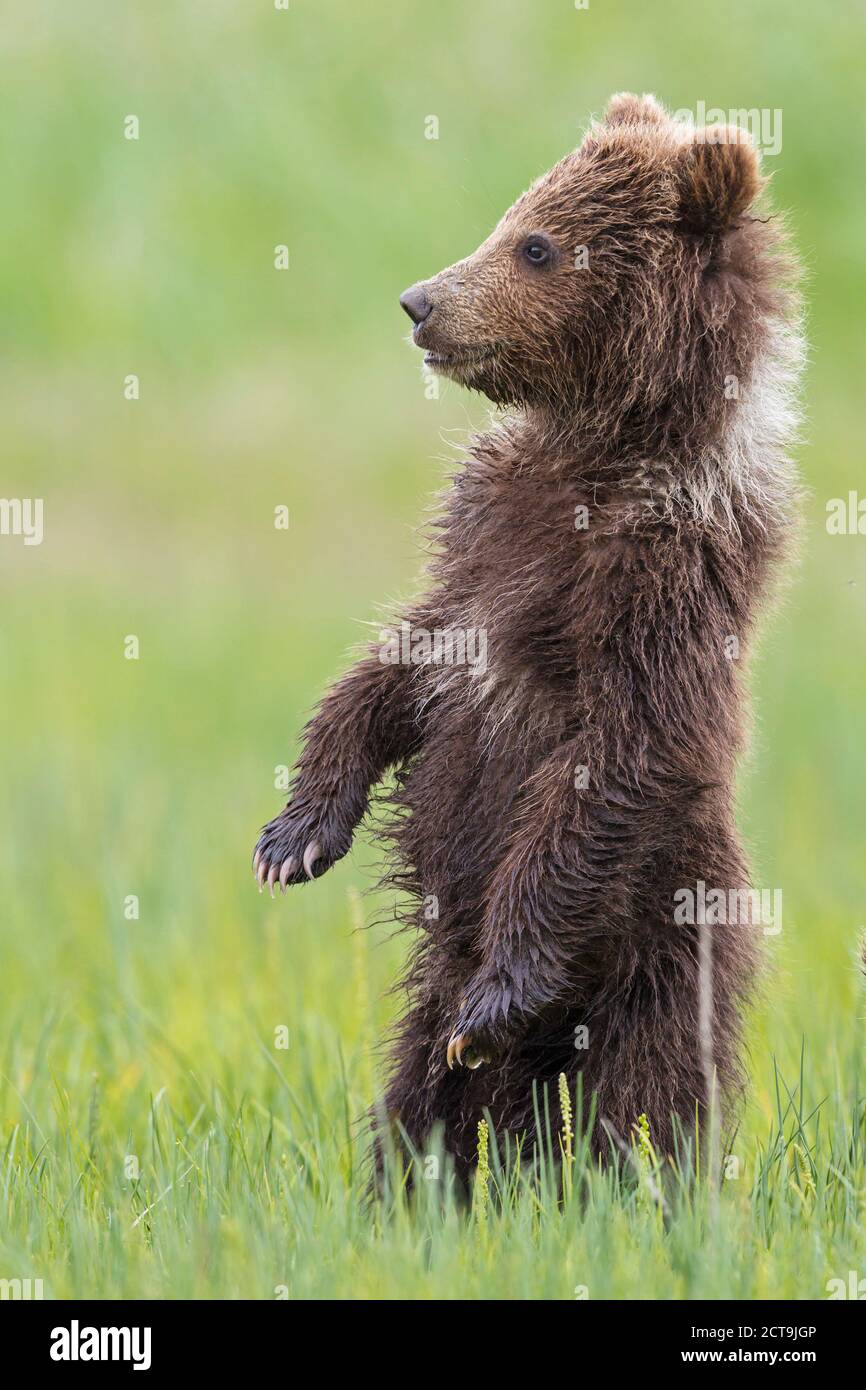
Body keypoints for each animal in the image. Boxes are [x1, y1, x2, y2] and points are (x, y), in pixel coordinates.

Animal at [252, 94, 803, 1183]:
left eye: (539, 245)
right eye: (513, 217)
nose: (419, 302)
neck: (594, 459)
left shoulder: (656, 592)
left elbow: (613, 760)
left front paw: (501, 990)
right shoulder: (481, 547)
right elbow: (396, 666)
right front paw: (295, 833)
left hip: (663, 940)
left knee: (643, 1096)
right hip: (430, 1000)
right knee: (423, 1100)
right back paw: (417, 1182)